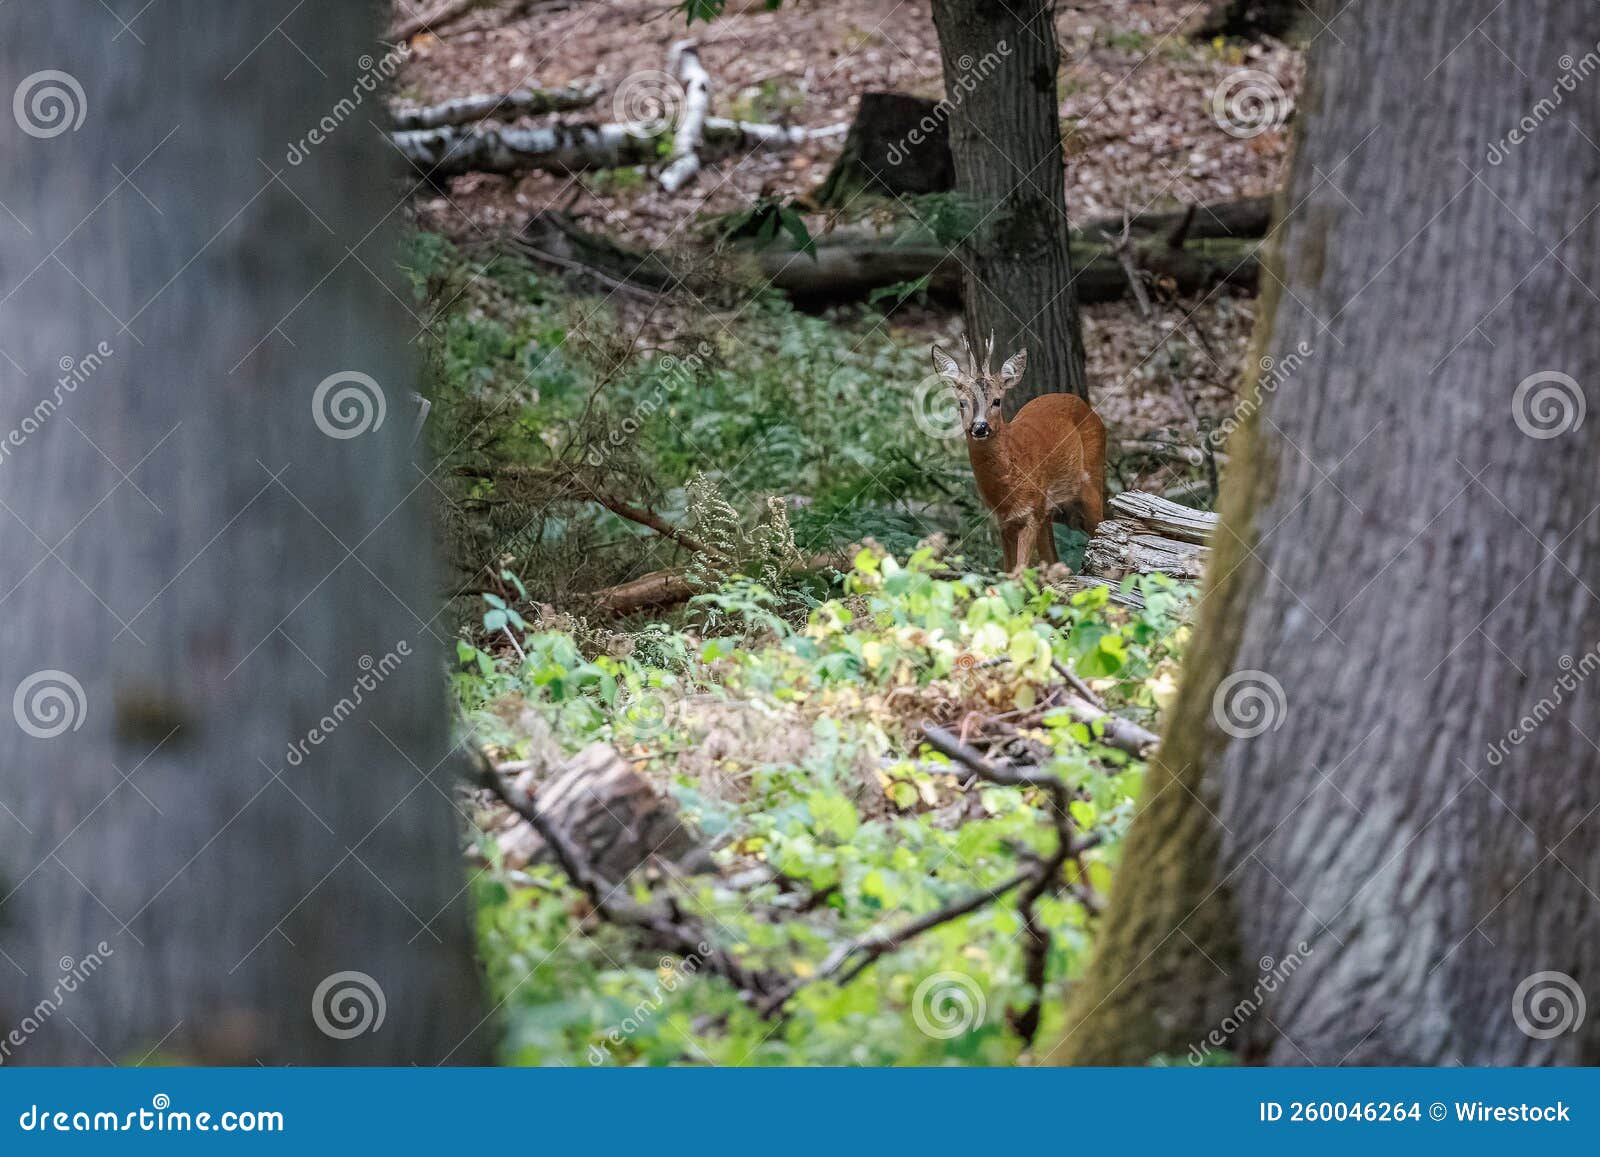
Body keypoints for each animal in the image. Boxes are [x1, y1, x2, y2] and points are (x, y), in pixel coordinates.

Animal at [931, 333, 1106, 575]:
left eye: (997, 400)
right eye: (962, 402)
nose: (980, 427)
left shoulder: (1031, 513)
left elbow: (1019, 572)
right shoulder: (1005, 520)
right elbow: (1008, 572)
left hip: (1092, 482)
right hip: (1048, 513)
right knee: (1054, 561)